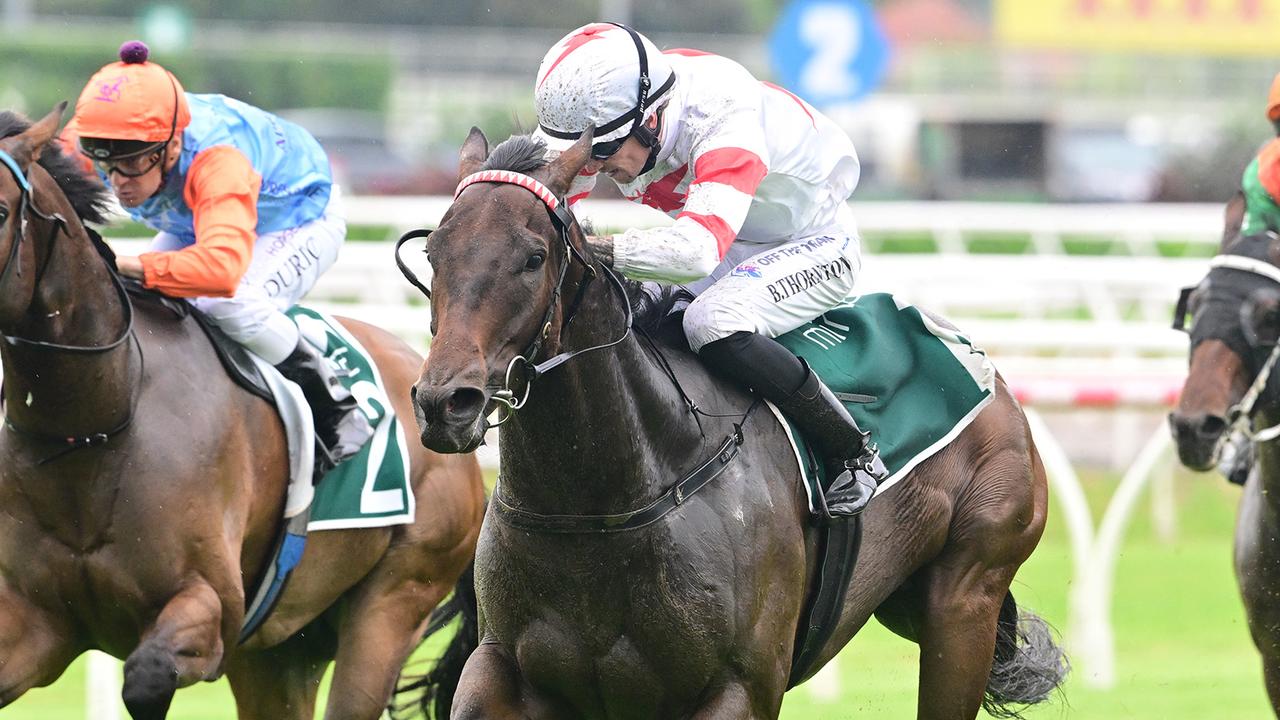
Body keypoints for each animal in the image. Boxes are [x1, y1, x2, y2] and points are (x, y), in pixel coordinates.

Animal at [0, 105, 485, 720]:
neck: (94, 425)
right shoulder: (34, 622)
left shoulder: (211, 611)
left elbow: (146, 678)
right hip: (280, 648)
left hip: (395, 599)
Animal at [404, 127, 1067, 720]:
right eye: (434, 254)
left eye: (533, 257)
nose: (446, 402)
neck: (599, 506)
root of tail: (977, 365)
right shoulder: (505, 670)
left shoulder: (738, 687)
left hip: (964, 600)